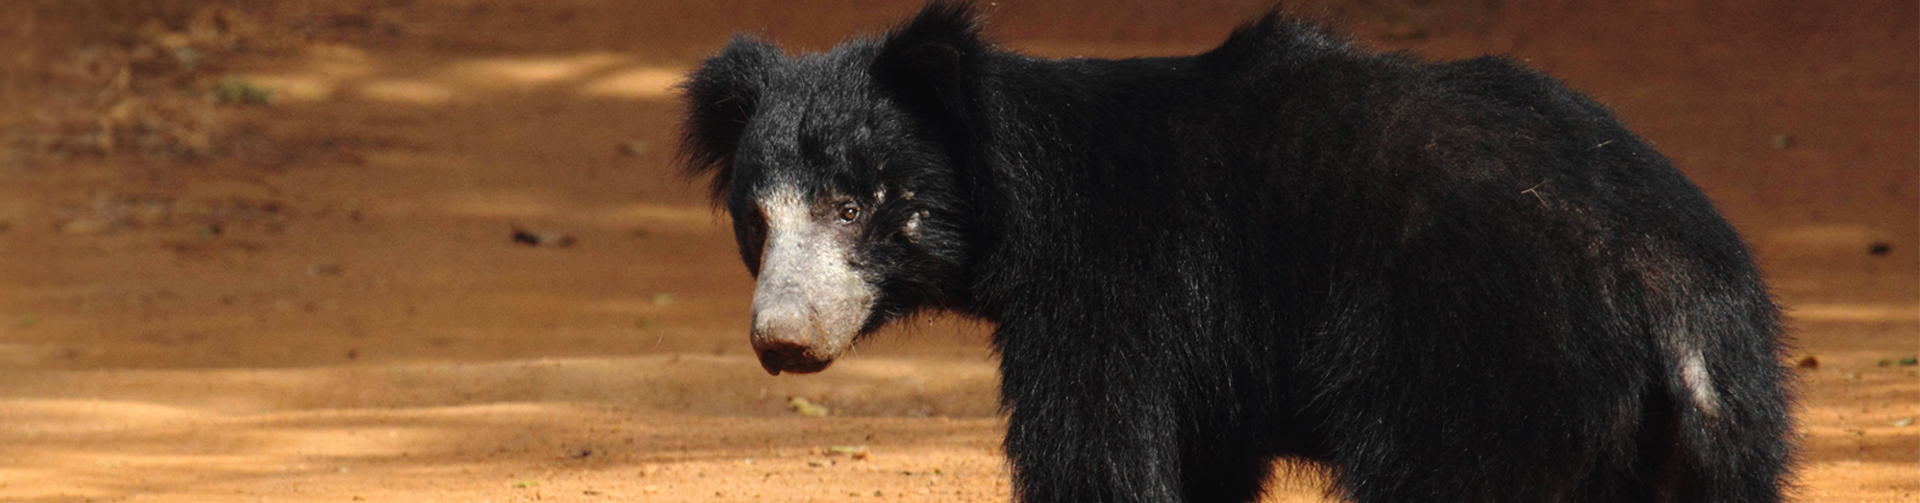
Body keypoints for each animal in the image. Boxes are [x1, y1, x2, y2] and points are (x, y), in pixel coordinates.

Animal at [677, 2, 1794, 502]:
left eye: (854, 205)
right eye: (758, 220)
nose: (782, 340)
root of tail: (1669, 288)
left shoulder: (1113, 294)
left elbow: (1097, 456)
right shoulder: (1201, 362)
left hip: (1483, 364)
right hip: (1708, 432)